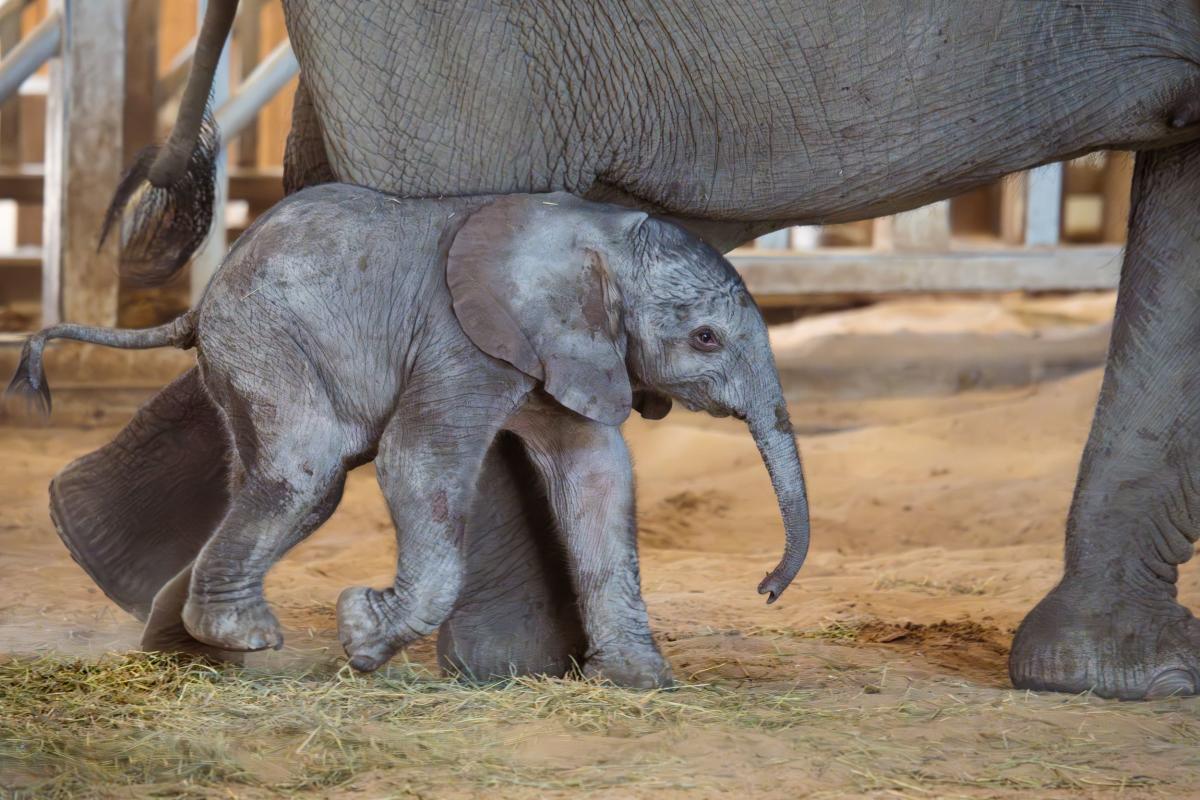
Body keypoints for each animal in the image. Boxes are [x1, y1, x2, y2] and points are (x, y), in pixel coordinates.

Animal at [12, 185, 811, 687]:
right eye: (706, 338)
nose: (767, 590)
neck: (600, 234)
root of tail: (204, 297)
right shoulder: (463, 338)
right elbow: (419, 462)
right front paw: (360, 635)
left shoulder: (563, 348)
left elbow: (597, 478)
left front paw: (642, 683)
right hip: (265, 337)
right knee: (310, 471)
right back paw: (243, 637)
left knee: (279, 481)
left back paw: (199, 649)